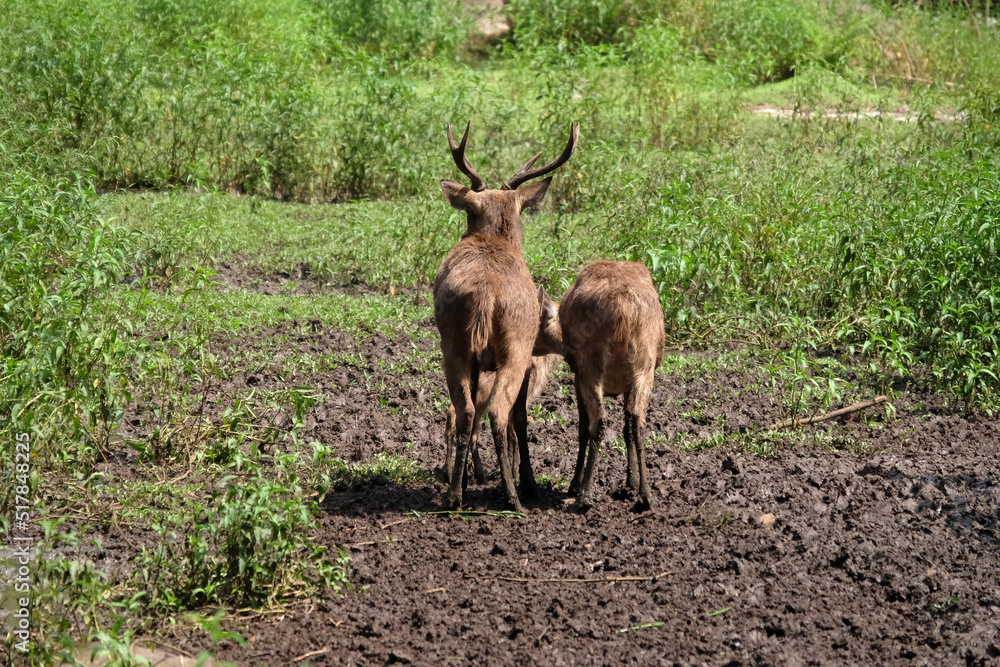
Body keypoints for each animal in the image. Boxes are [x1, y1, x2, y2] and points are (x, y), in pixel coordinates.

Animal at [434, 121, 579, 512]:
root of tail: (486, 294)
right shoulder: (527, 357)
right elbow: (521, 419)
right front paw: (526, 481)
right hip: (513, 346)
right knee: (499, 411)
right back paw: (514, 497)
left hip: (452, 343)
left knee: (466, 411)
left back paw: (455, 494)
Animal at [532, 261, 665, 511]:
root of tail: (623, 309)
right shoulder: (628, 384)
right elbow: (626, 429)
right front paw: (631, 481)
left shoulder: (577, 374)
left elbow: (583, 426)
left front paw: (574, 484)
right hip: (646, 363)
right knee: (638, 420)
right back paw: (646, 494)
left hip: (590, 363)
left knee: (599, 421)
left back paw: (585, 494)